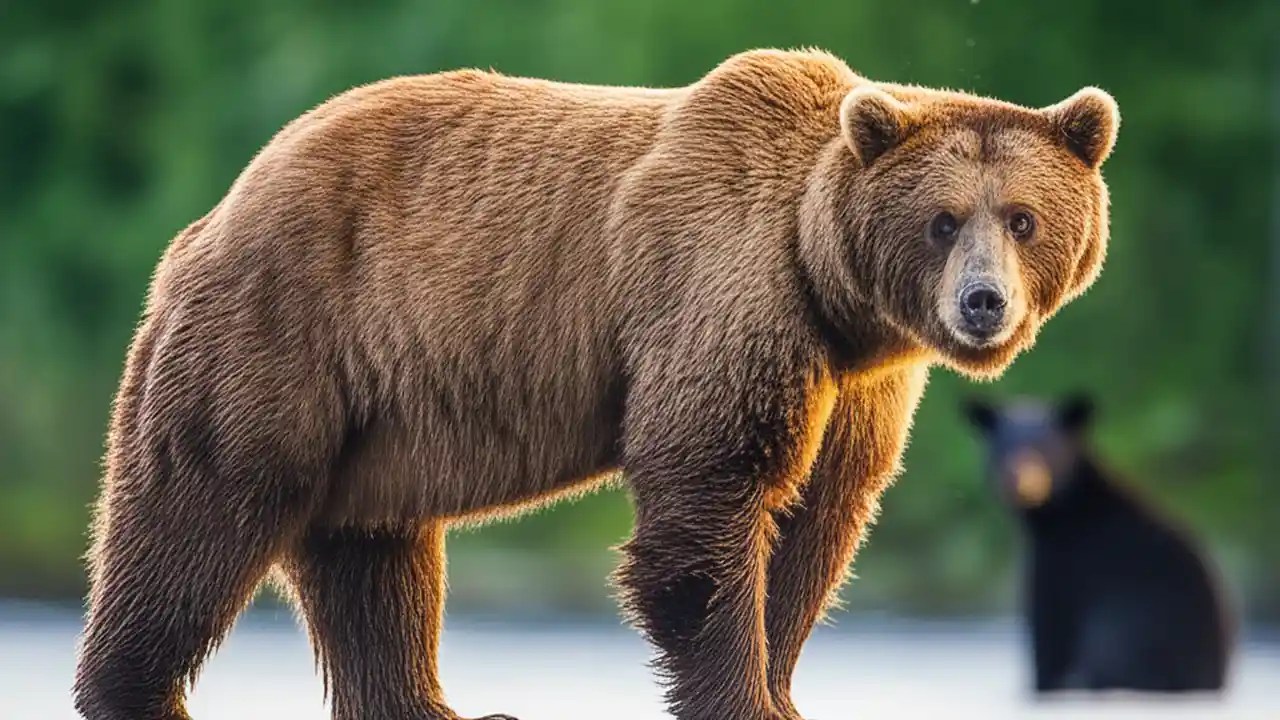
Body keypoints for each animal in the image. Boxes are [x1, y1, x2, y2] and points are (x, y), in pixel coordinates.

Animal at [73, 48, 1119, 720]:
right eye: (944, 220)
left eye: (1022, 218)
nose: (983, 303)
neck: (831, 287)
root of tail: (215, 211)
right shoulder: (725, 295)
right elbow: (707, 506)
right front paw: (739, 695)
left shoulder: (860, 382)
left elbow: (822, 519)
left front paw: (781, 681)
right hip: (276, 336)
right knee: (196, 519)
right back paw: (132, 691)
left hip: (370, 413)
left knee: (371, 559)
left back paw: (438, 708)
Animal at [964, 395, 1232, 694]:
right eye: (1004, 451)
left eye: (1047, 450)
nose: (1025, 484)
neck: (1064, 512)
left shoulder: (1064, 563)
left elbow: (1050, 627)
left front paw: (1041, 684)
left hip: (1131, 628)